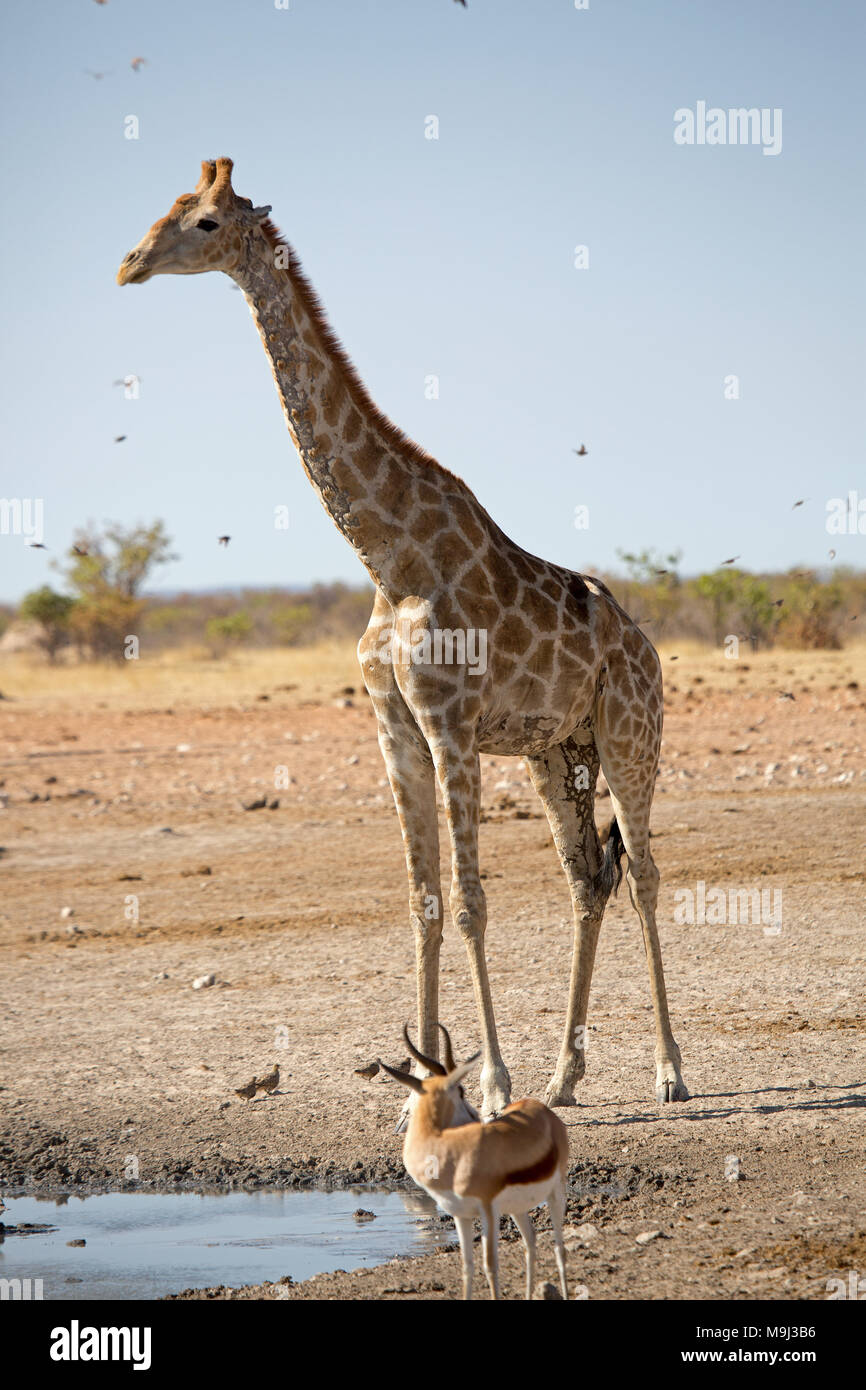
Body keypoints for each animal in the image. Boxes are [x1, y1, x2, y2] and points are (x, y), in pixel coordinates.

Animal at [117, 158, 688, 1118]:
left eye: (202, 223)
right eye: (164, 209)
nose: (128, 265)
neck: (390, 557)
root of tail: (645, 645)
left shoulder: (450, 724)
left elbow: (468, 899)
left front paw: (488, 1084)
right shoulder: (395, 730)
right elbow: (421, 898)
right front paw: (421, 1082)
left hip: (627, 734)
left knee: (643, 872)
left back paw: (670, 1071)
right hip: (557, 751)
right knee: (588, 877)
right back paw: (565, 1077)